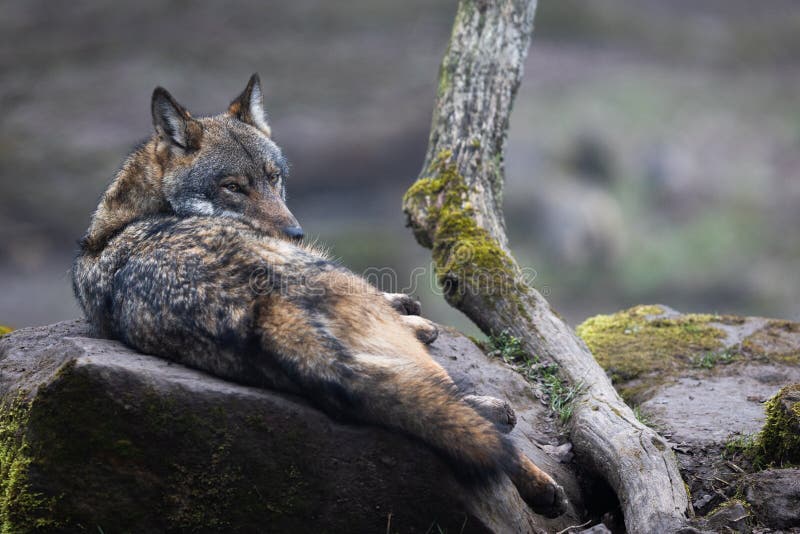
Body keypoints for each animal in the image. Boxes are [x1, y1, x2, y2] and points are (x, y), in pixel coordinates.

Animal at [71, 74, 567, 518]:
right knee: (460, 410)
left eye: (273, 178)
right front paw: (414, 315)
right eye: (233, 186)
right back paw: (529, 466)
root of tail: (266, 310)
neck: (126, 214)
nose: (296, 233)